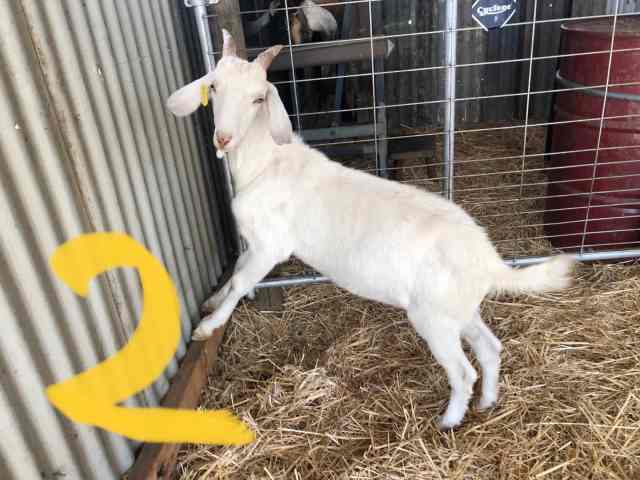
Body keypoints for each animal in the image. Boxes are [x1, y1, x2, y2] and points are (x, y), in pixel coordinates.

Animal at [166, 30, 575, 430]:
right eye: (214, 86)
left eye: (258, 98)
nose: (223, 138)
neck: (267, 162)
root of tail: (490, 260)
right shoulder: (254, 242)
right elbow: (236, 271)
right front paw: (211, 302)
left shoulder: (272, 245)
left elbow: (240, 280)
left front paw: (208, 326)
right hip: (459, 308)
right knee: (489, 348)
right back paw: (487, 402)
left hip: (434, 319)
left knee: (462, 372)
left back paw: (448, 420)